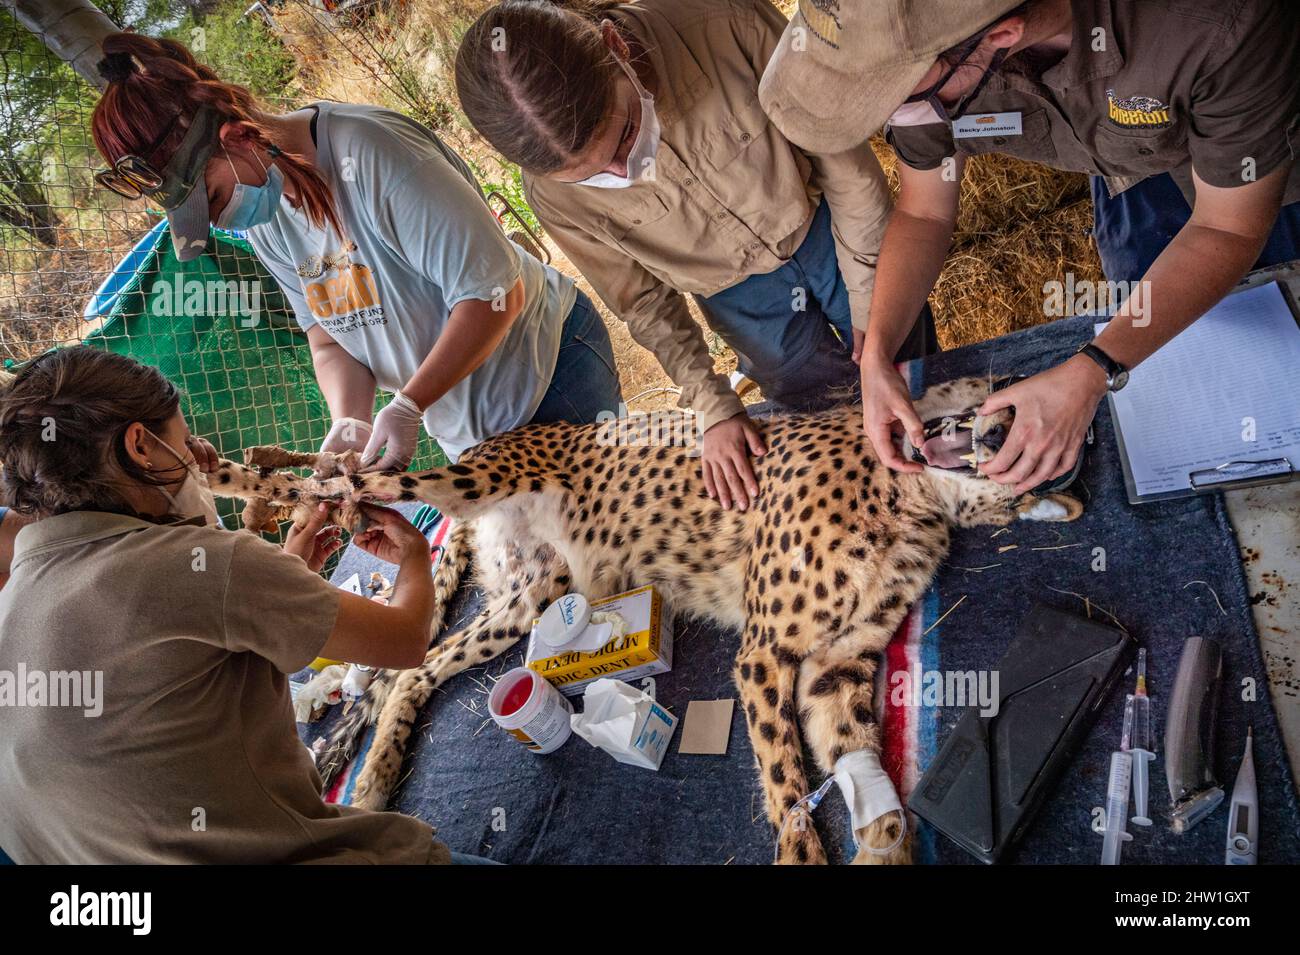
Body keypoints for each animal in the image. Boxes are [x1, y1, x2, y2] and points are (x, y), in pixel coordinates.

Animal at [209, 375, 1083, 865]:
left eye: (1029, 459)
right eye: (991, 403)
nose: (998, 430)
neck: (912, 494)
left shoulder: (834, 665)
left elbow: (871, 789)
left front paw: (882, 848)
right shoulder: (765, 650)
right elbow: (787, 782)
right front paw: (801, 848)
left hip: (528, 596)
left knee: (416, 665)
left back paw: (375, 779)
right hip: (457, 482)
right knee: (350, 480)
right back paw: (238, 474)